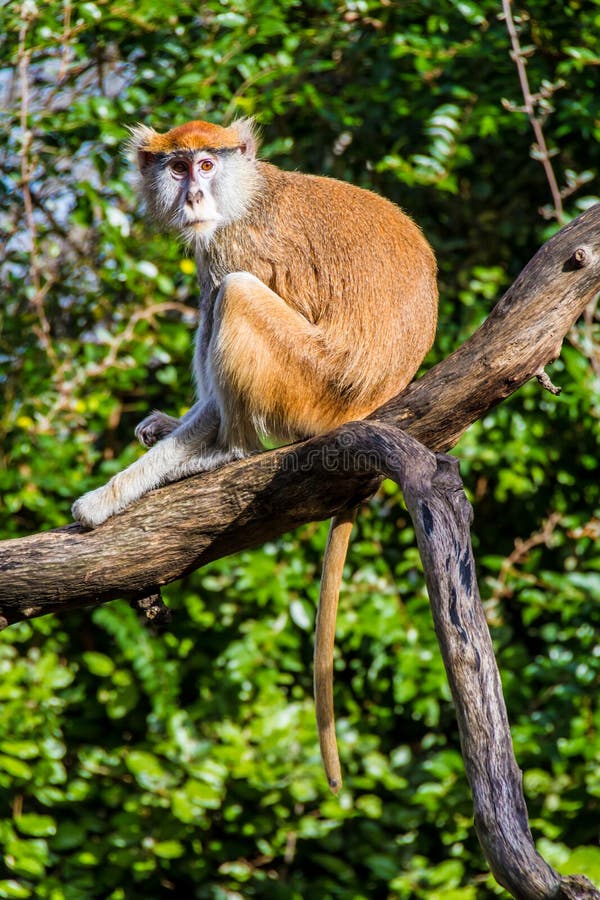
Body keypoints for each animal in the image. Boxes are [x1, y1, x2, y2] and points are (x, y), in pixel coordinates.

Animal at [71, 117, 438, 791]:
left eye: (207, 165)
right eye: (177, 167)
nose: (193, 196)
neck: (249, 194)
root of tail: (373, 401)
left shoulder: (231, 248)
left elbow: (226, 319)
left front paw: (106, 498)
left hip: (311, 385)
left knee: (236, 299)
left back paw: (228, 454)